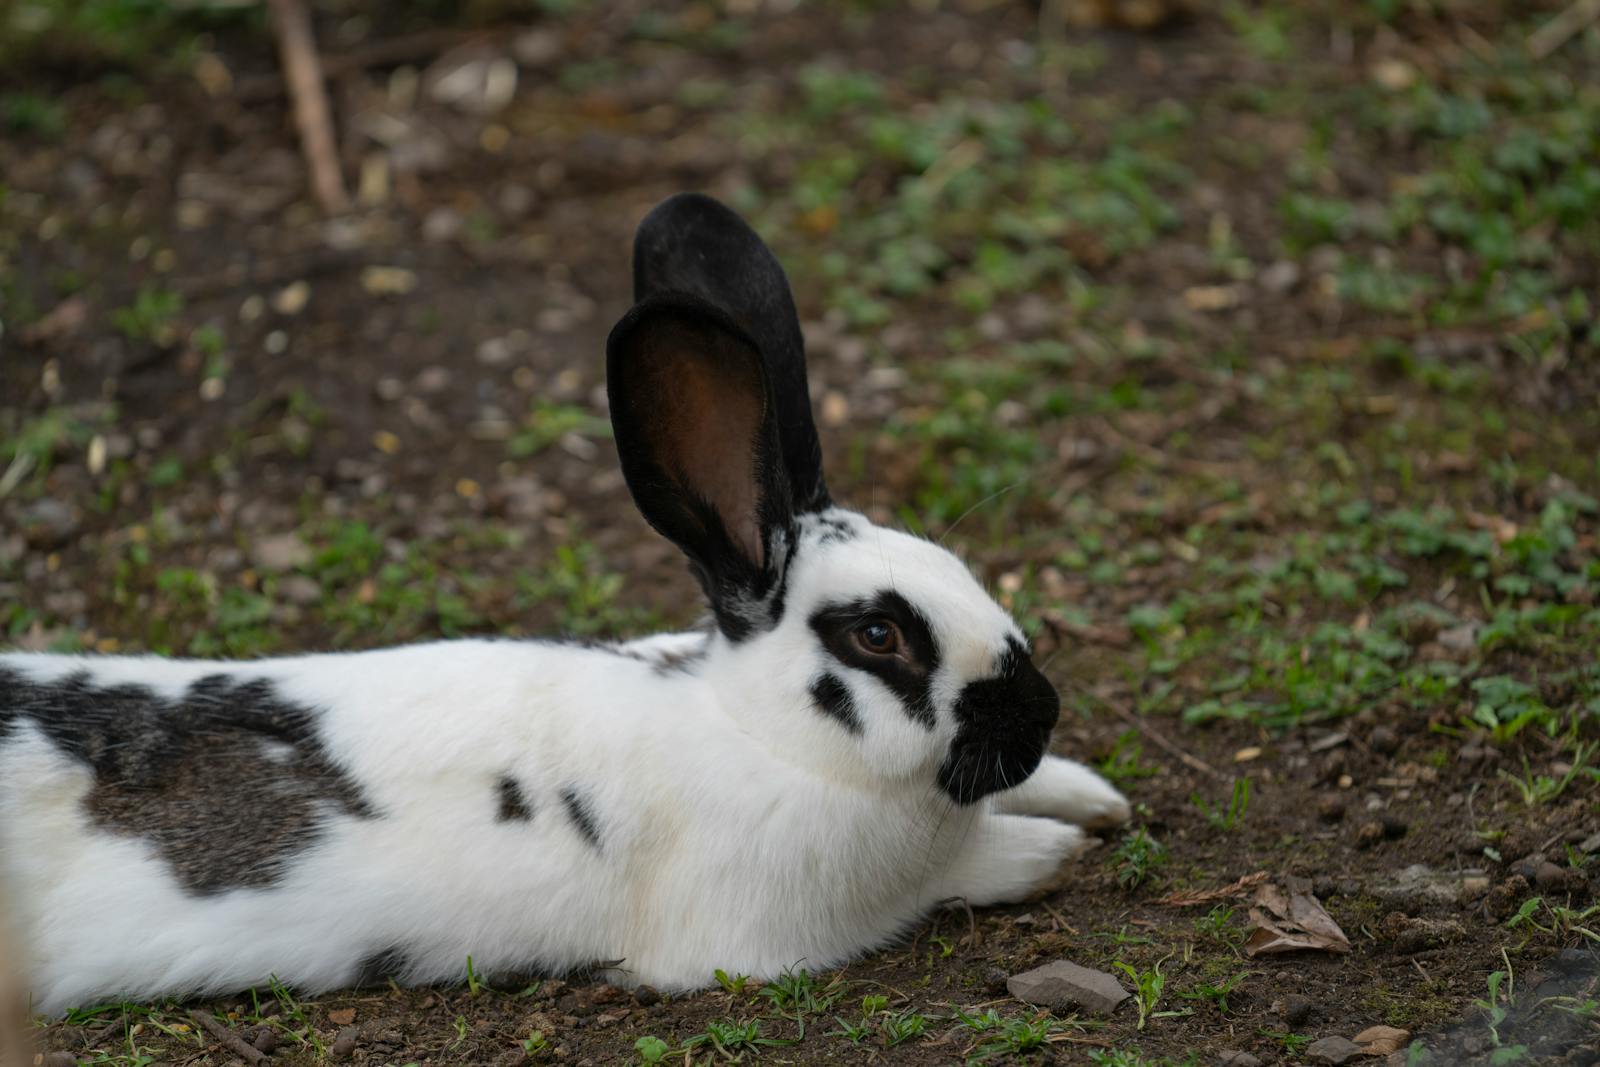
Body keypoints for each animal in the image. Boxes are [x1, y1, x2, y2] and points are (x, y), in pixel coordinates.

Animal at [0, 192, 1130, 1016]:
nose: (1040, 713)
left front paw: (1094, 796)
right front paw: (1054, 848)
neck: (757, 734)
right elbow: (972, 865)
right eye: (879, 633)